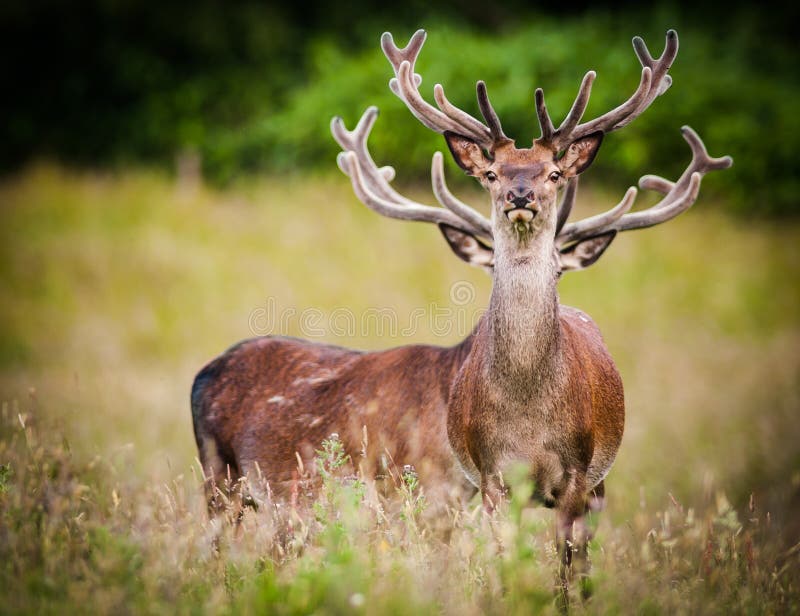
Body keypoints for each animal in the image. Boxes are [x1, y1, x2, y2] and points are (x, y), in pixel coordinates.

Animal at [191, 29, 732, 570]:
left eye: (555, 173)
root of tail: (204, 371)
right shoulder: (429, 486)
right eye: (491, 173)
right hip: (221, 477)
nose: (519, 195)